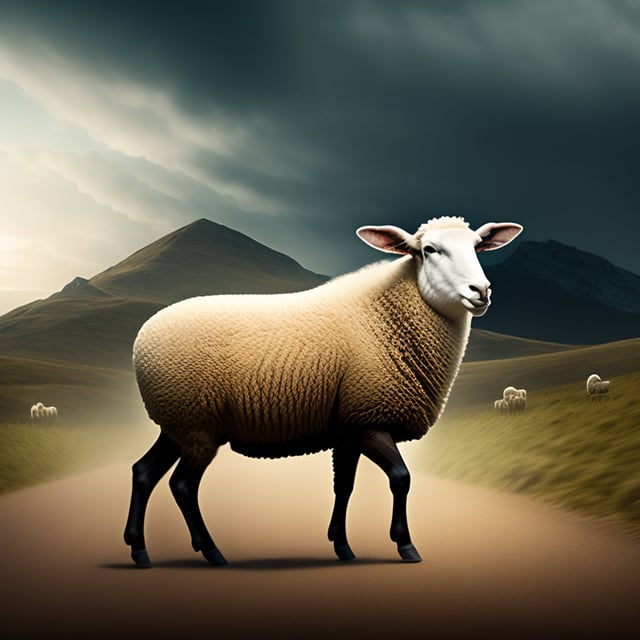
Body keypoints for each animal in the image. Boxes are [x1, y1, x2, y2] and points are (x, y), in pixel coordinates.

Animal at [124, 216, 523, 568]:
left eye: (478, 246)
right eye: (428, 250)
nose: (481, 291)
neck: (386, 319)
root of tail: (142, 338)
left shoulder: (348, 429)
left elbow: (344, 486)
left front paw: (342, 545)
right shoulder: (370, 421)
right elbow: (401, 478)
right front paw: (405, 545)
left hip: (179, 424)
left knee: (143, 472)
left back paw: (138, 549)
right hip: (197, 425)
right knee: (182, 485)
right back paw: (210, 551)